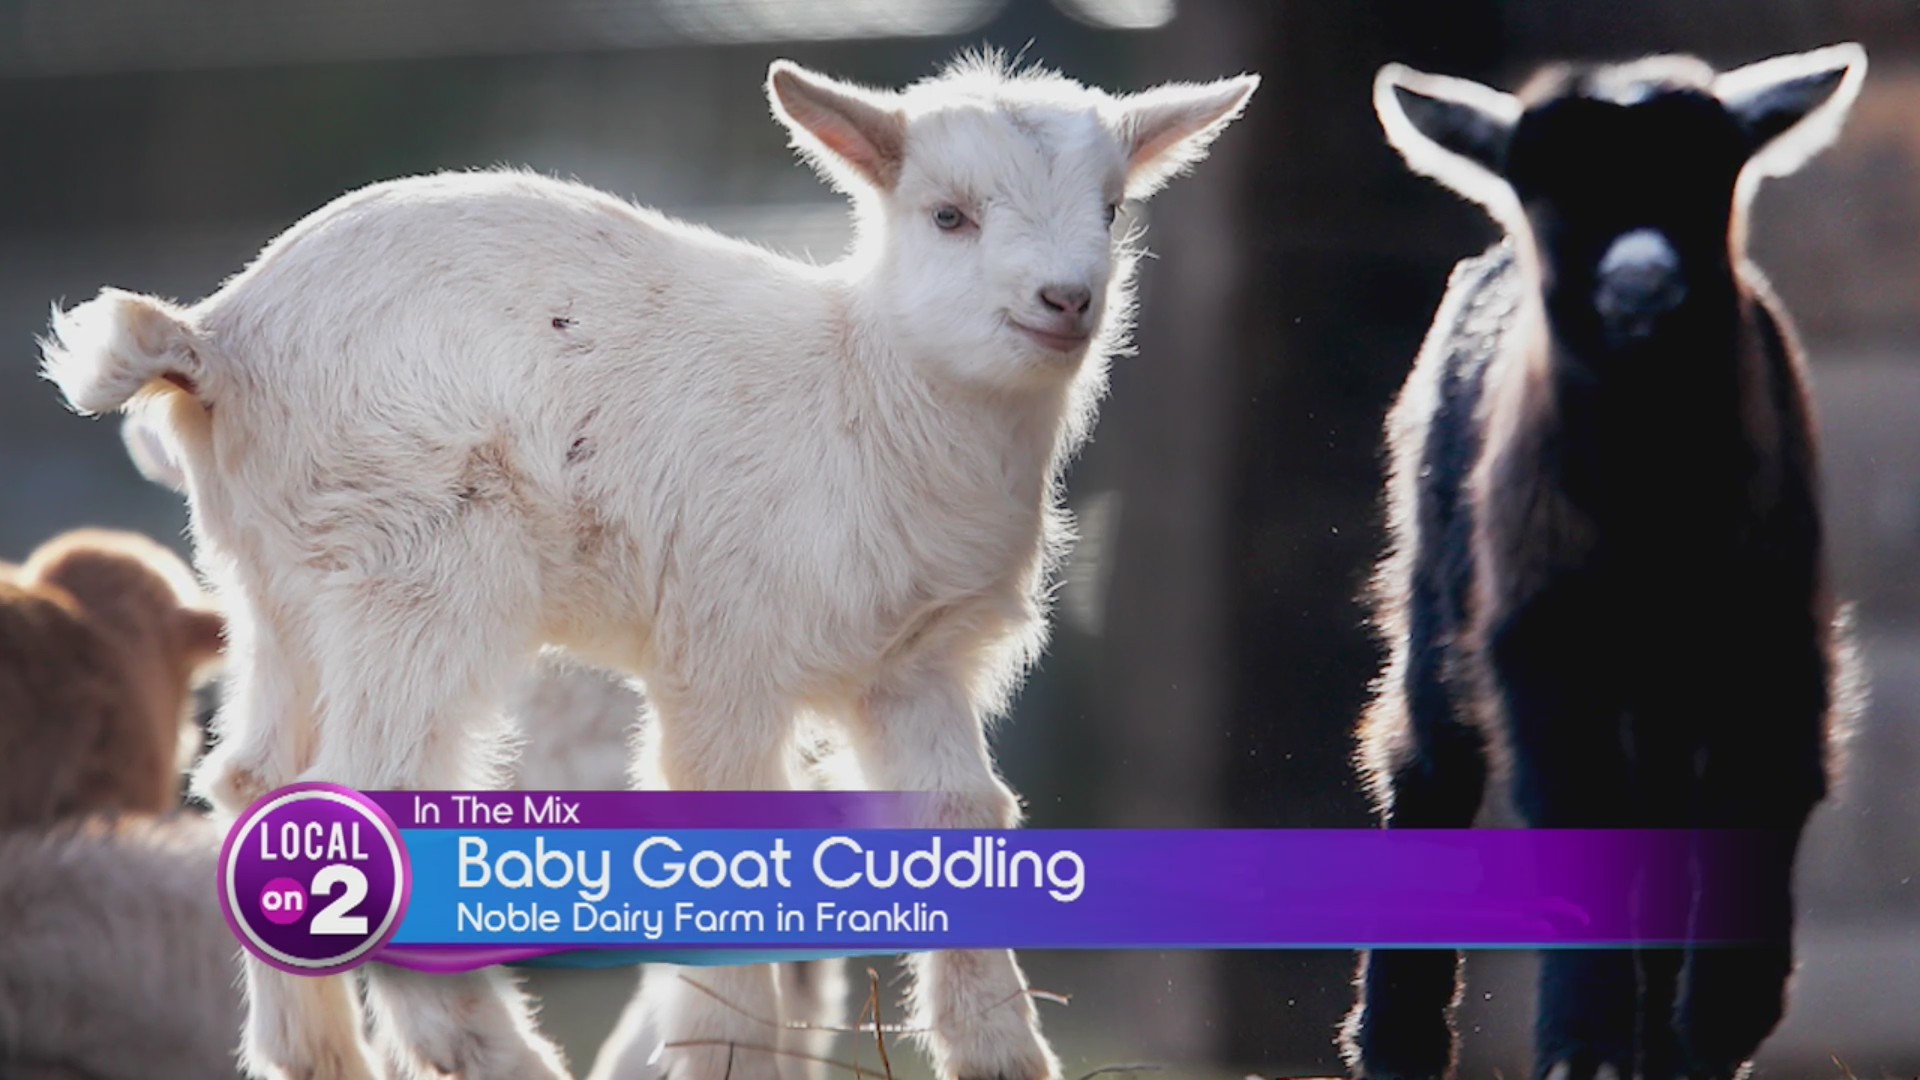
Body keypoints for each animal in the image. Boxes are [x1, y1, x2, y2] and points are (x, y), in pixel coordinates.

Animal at [43, 53, 1257, 1080]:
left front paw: (999, 1054)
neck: (867, 390)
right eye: (949, 216)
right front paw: (724, 1057)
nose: (1068, 301)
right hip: (425, 566)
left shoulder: (908, 664)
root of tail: (215, 340)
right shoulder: (725, 647)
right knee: (366, 796)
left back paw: (319, 1059)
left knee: (255, 785)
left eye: (1112, 209)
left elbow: (959, 819)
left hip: (276, 583)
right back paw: (504, 1061)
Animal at [1344, 44, 1866, 1080]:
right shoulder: (1543, 641)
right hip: (1439, 592)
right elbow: (1577, 808)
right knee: (1423, 757)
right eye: (1551, 194)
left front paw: (1719, 1023)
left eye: (1713, 182)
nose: (1641, 284)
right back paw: (1397, 1041)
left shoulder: (1776, 635)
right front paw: (1582, 1043)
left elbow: (1759, 797)